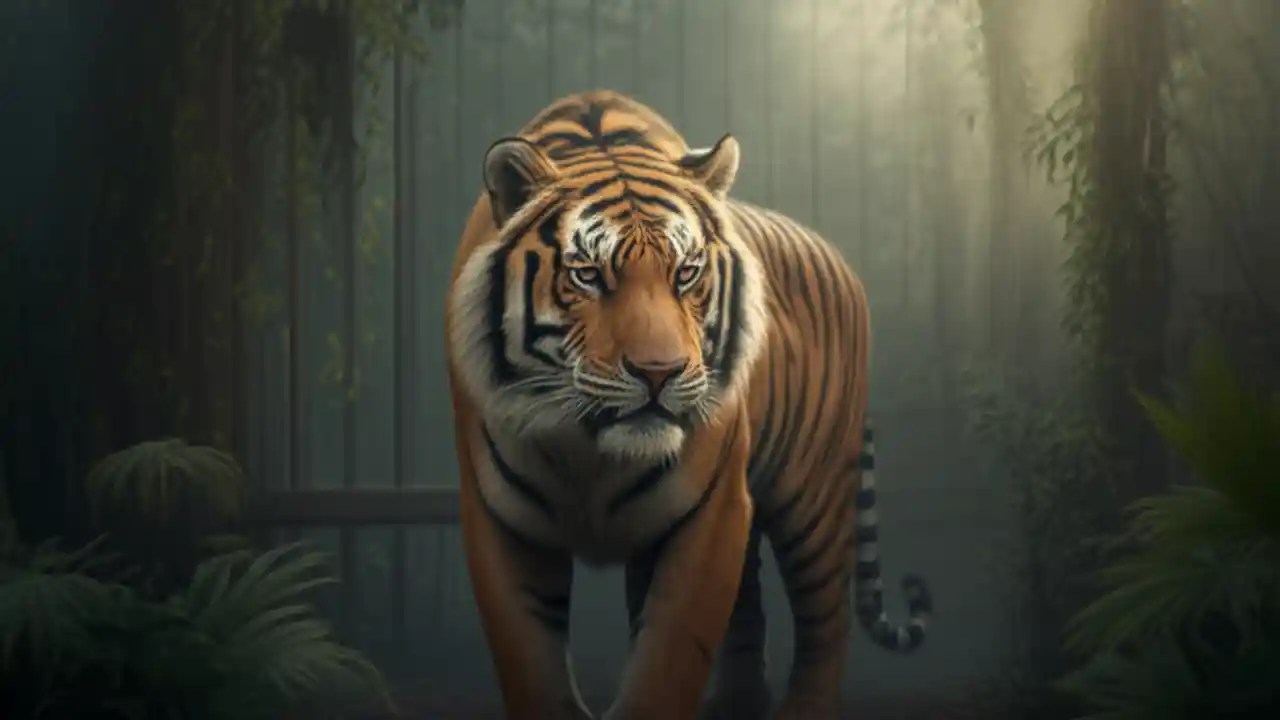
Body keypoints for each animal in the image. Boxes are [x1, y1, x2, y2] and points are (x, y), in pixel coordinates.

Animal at [445, 90, 933, 720]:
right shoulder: (500, 519)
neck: (587, 452)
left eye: (686, 273)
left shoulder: (711, 509)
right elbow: (534, 671)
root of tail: (842, 259)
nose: (660, 373)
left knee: (826, 625)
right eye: (587, 275)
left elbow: (666, 664)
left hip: (815, 498)